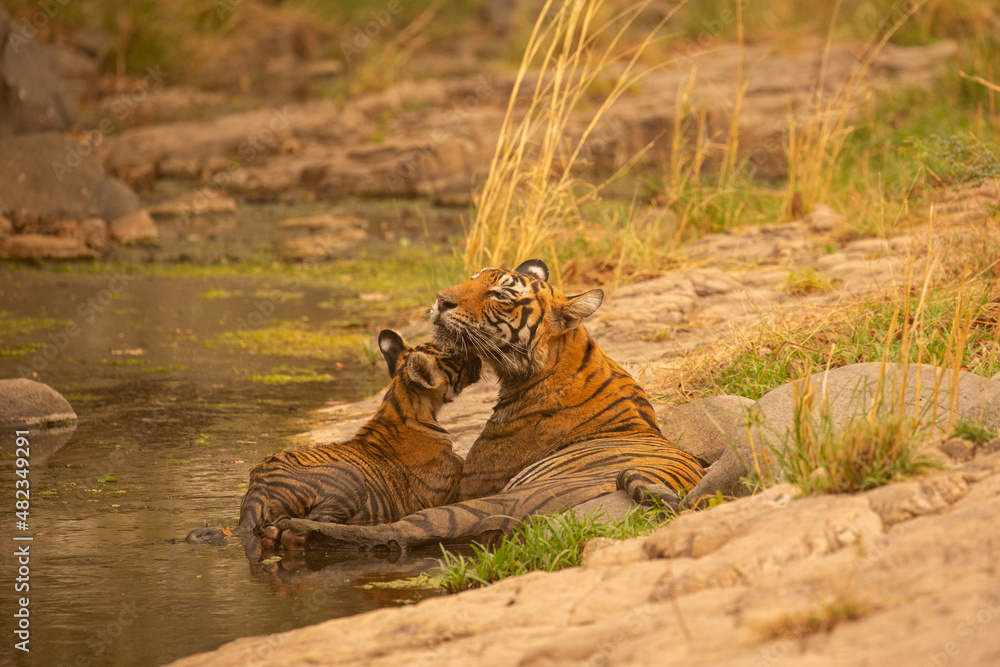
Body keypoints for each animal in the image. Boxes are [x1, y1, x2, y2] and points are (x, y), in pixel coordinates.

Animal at [237, 329, 481, 548]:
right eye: (455, 353)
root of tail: (259, 483)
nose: (478, 357)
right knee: (310, 522)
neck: (403, 404)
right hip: (350, 477)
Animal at [285, 259, 705, 551]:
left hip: (486, 504)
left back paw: (294, 531)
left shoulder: (471, 485)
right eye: (473, 278)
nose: (440, 300)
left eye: (500, 295)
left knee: (398, 533)